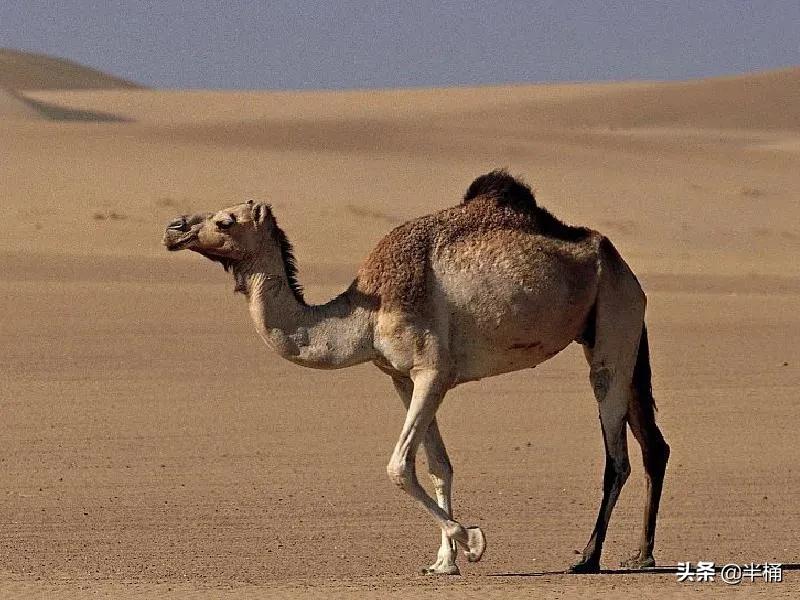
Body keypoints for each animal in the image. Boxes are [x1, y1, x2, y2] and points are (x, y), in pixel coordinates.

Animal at [162, 170, 670, 575]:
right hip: (616, 329)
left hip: (613, 323)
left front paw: (472, 541)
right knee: (653, 444)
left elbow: (399, 467)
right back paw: (641, 555)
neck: (364, 314)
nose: (173, 228)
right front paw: (444, 562)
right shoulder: (401, 377)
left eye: (225, 221)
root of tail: (621, 263)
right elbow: (438, 466)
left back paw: (588, 558)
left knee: (616, 452)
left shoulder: (432, 370)